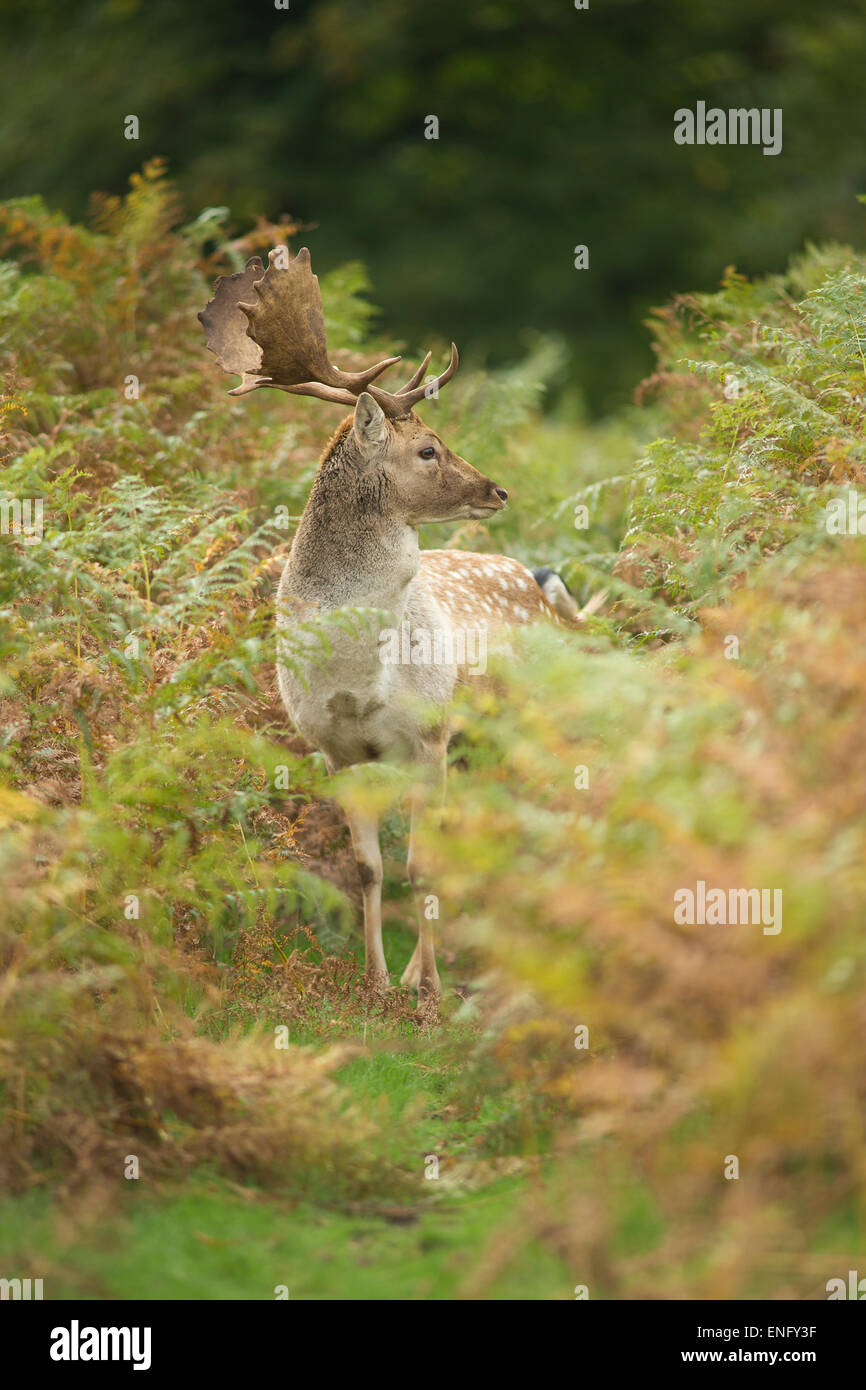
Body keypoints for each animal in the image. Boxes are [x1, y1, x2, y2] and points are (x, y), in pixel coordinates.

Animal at [200, 247, 590, 1022]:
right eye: (430, 450)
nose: (498, 490)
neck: (354, 675)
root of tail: (537, 580)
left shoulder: (428, 735)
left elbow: (422, 862)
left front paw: (430, 991)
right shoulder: (335, 751)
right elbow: (370, 868)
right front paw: (379, 984)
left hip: (520, 717)